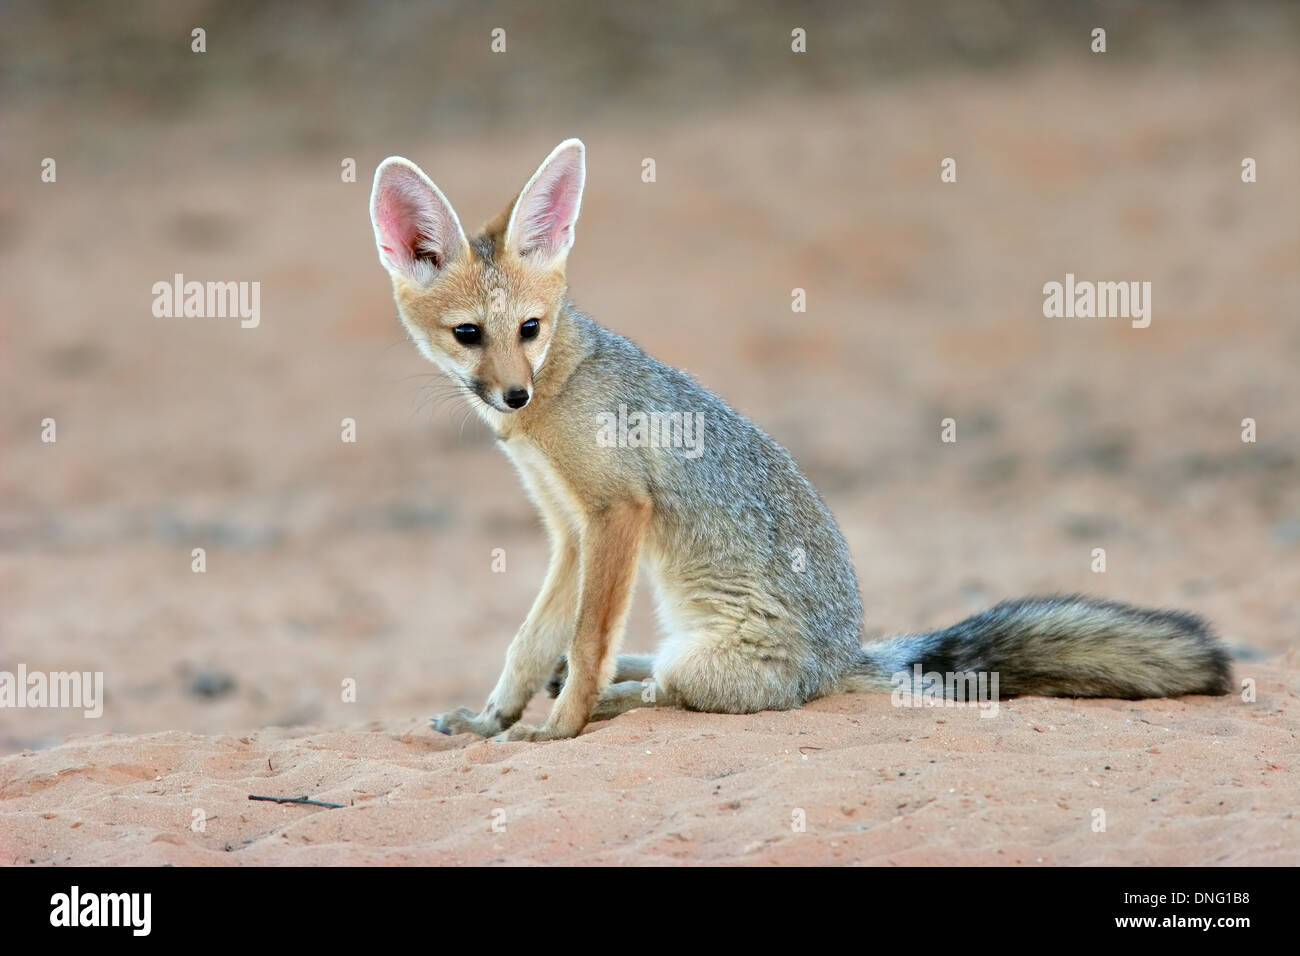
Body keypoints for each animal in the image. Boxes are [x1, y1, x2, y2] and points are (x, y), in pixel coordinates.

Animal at [368, 138, 1232, 742]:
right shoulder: (570, 531)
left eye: (530, 328)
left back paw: (614, 697)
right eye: (469, 334)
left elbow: (583, 645)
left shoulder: (615, 513)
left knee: (658, 693)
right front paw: (493, 719)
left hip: (702, 663)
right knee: (643, 667)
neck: (557, 391)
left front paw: (558, 729)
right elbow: (531, 642)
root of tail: (841, 658)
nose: (512, 393)